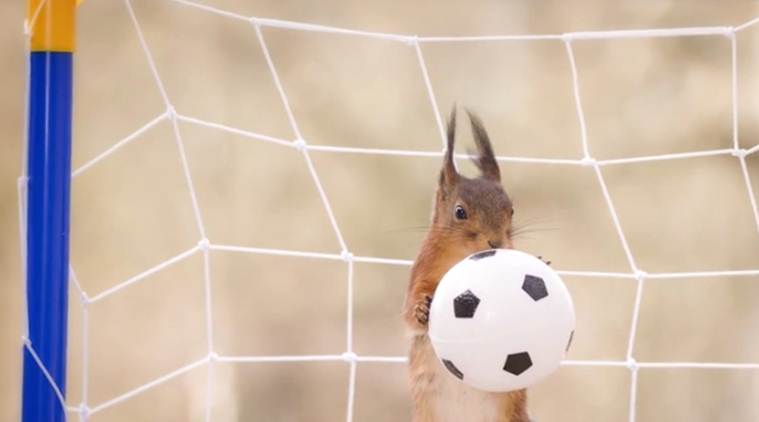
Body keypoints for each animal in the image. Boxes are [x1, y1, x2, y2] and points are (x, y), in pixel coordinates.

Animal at [403, 108, 530, 422]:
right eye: (460, 212)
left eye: (511, 209)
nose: (496, 241)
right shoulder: (421, 270)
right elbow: (409, 315)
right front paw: (421, 309)